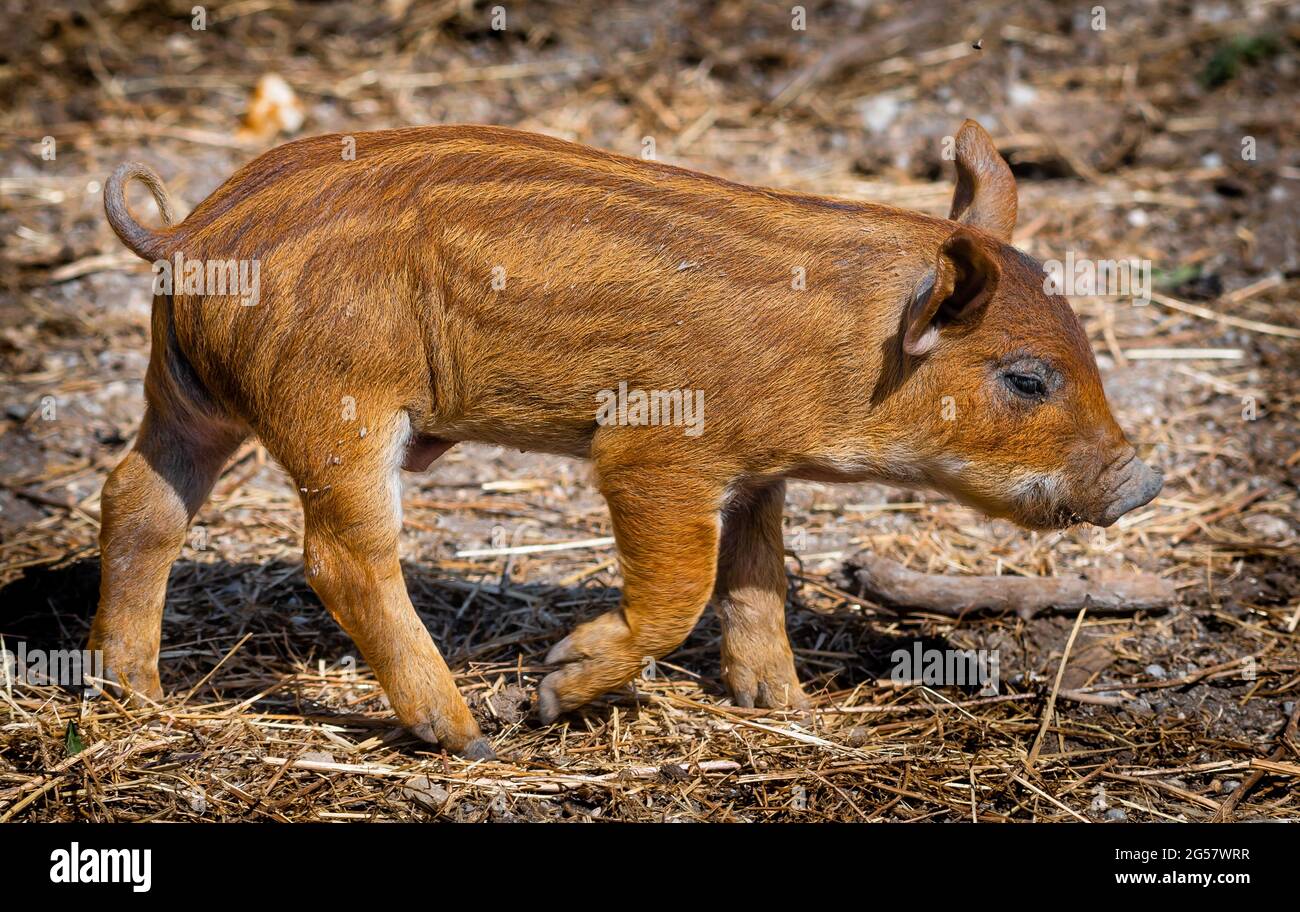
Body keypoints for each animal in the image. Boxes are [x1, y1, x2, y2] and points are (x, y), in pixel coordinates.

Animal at [95, 120, 1161, 758]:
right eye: (1026, 377)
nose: (1140, 481)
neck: (841, 355)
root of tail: (188, 233)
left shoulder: (758, 474)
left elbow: (758, 583)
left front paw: (789, 710)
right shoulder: (654, 452)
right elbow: (683, 592)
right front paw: (552, 690)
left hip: (188, 396)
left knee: (137, 501)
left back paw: (139, 696)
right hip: (336, 406)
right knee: (342, 556)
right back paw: (470, 735)